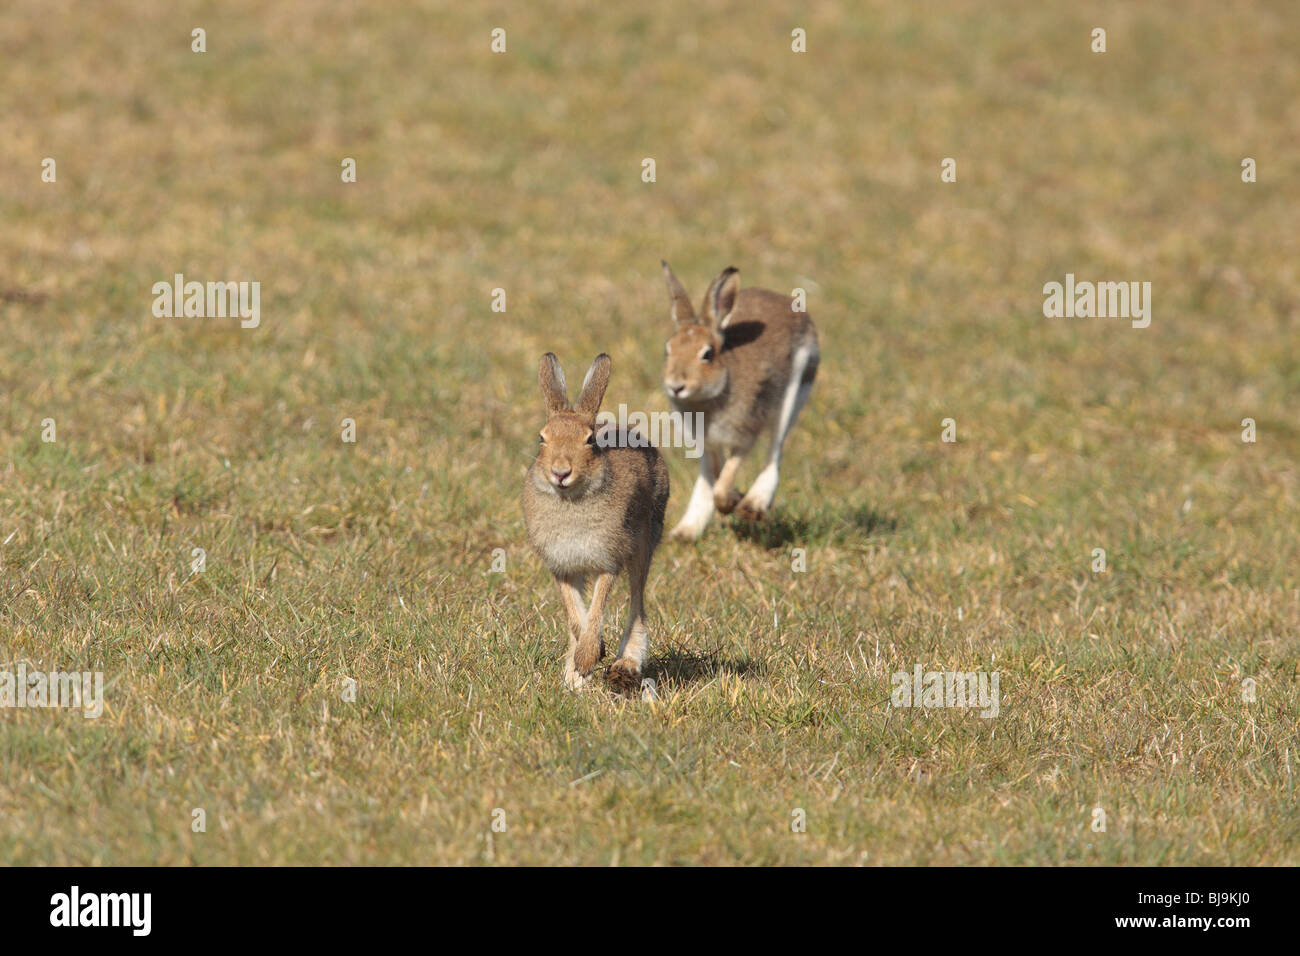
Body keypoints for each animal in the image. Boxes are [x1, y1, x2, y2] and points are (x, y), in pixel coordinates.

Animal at [522, 352, 670, 695]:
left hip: (643, 546)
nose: (560, 472)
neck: (570, 500)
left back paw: (625, 665)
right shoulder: (562, 566)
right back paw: (574, 679)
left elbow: (598, 606)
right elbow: (576, 616)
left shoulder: (609, 559)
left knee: (637, 604)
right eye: (541, 438)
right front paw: (583, 664)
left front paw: (590, 656)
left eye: (589, 440)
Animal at [660, 262, 819, 540]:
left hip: (795, 390)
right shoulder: (705, 441)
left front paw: (730, 502)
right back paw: (686, 531)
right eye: (668, 350)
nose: (676, 386)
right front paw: (731, 498)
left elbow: (727, 475)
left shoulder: (746, 433)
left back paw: (753, 505)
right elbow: (715, 472)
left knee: (774, 451)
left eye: (707, 354)